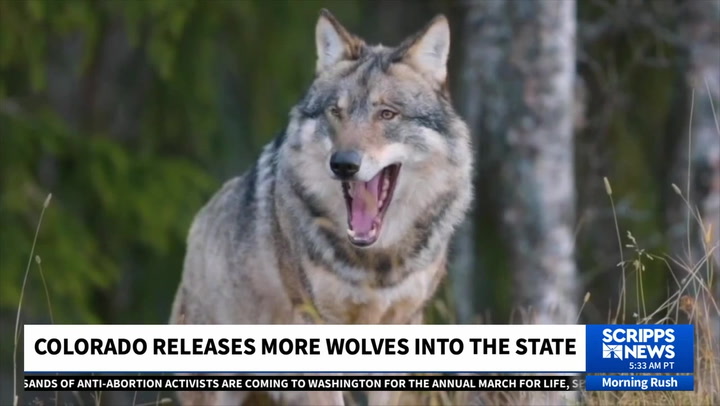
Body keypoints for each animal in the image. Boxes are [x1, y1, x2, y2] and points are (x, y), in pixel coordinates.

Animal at [170, 9, 473, 406]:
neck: (375, 264)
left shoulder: (402, 325)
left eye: (387, 114)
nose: (343, 163)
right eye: (335, 112)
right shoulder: (315, 324)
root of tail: (199, 223)